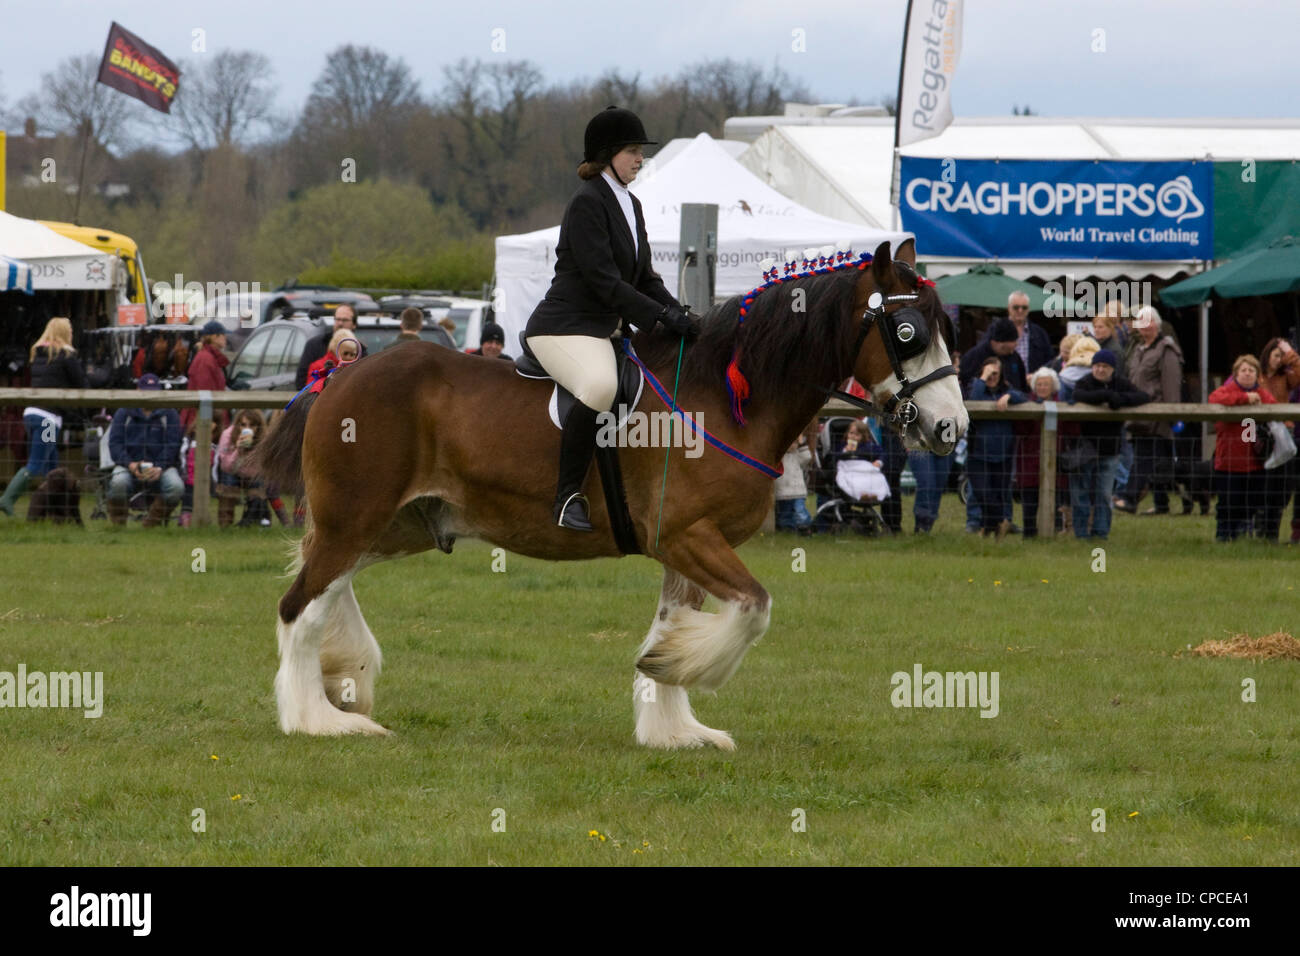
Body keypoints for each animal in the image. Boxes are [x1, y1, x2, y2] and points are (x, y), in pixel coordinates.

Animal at [254, 239, 968, 749]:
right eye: (906, 332)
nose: (949, 428)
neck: (725, 397)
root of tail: (341, 372)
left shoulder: (685, 548)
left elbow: (680, 618)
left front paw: (673, 722)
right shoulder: (687, 536)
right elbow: (754, 608)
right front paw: (675, 669)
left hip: (397, 525)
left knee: (327, 588)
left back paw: (343, 680)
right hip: (358, 519)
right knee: (299, 608)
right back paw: (314, 718)